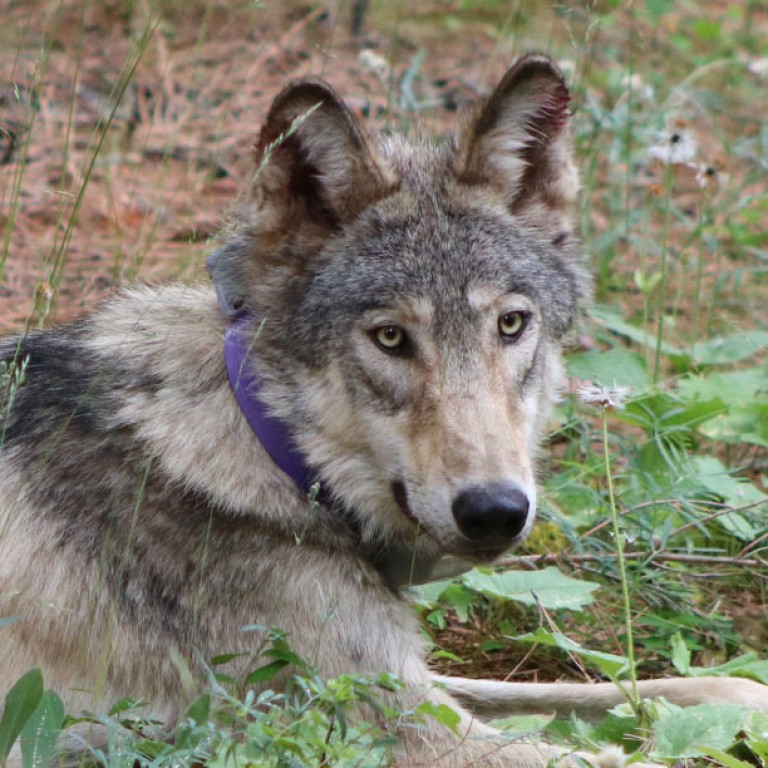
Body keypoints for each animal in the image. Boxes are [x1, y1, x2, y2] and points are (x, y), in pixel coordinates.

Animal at [1, 53, 766, 766]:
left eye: (511, 325)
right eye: (391, 338)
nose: (494, 511)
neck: (267, 450)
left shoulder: (408, 680)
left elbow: (684, 690)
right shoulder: (398, 727)